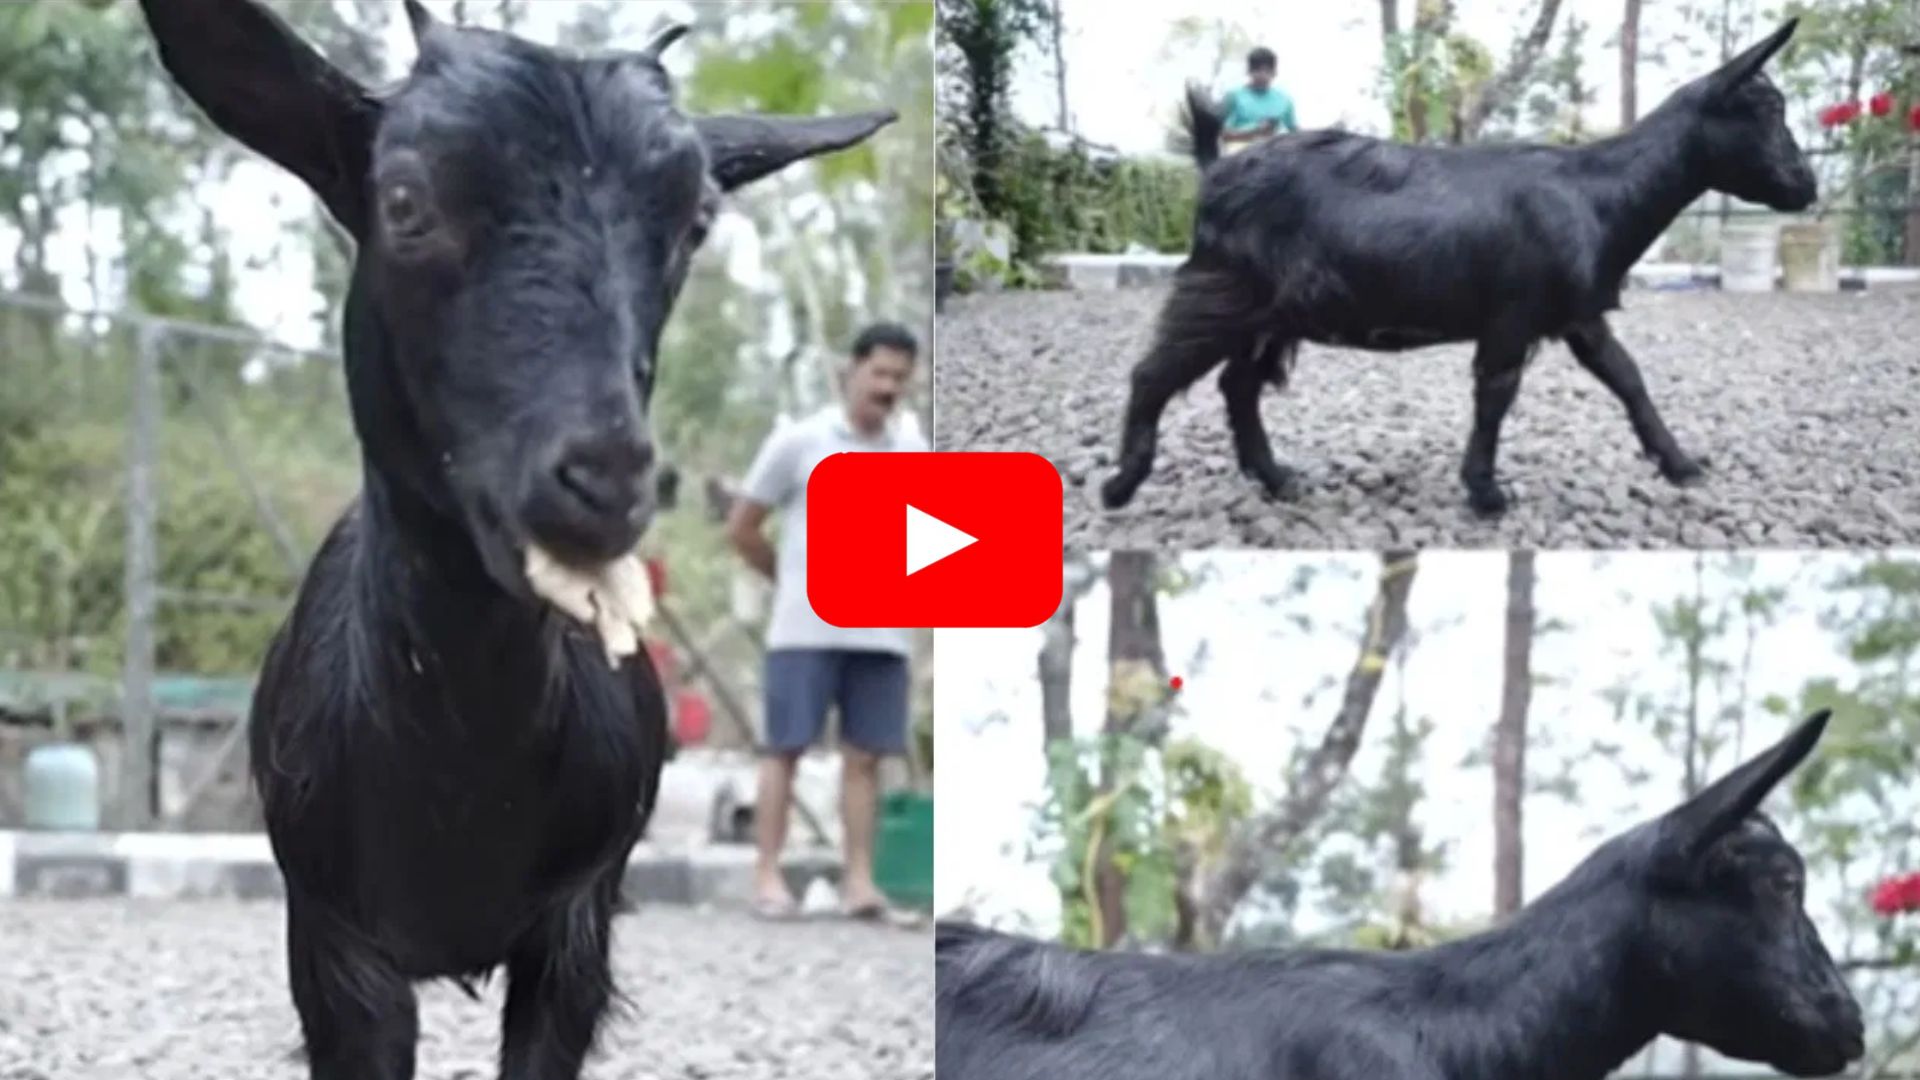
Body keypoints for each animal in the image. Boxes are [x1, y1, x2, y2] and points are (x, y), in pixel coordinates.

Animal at [137, 2, 893, 1077]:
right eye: (404, 200)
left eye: (694, 223)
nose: (606, 479)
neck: (463, 788)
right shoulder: (334, 950)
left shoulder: (575, 940)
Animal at [1101, 21, 1816, 517]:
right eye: (1765, 111)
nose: (1806, 185)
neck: (1597, 190)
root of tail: (1214, 170)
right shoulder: (1513, 314)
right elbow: (1496, 394)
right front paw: (1486, 493)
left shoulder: (1576, 313)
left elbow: (1627, 379)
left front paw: (1680, 464)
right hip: (1221, 290)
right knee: (1155, 374)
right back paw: (1121, 485)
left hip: (1271, 311)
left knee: (1238, 385)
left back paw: (1277, 480)